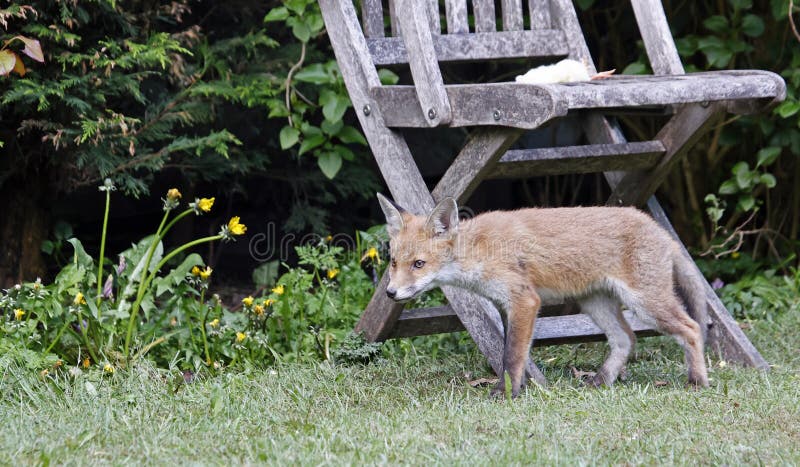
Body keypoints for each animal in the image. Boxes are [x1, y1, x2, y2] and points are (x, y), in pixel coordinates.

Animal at [377, 193, 710, 398]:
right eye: (394, 262)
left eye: (419, 264)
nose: (391, 293)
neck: (479, 251)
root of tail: (661, 230)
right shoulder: (505, 306)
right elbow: (514, 352)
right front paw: (518, 388)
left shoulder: (525, 301)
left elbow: (512, 355)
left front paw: (504, 394)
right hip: (596, 304)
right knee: (626, 338)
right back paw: (601, 381)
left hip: (646, 303)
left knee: (692, 328)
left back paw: (697, 382)